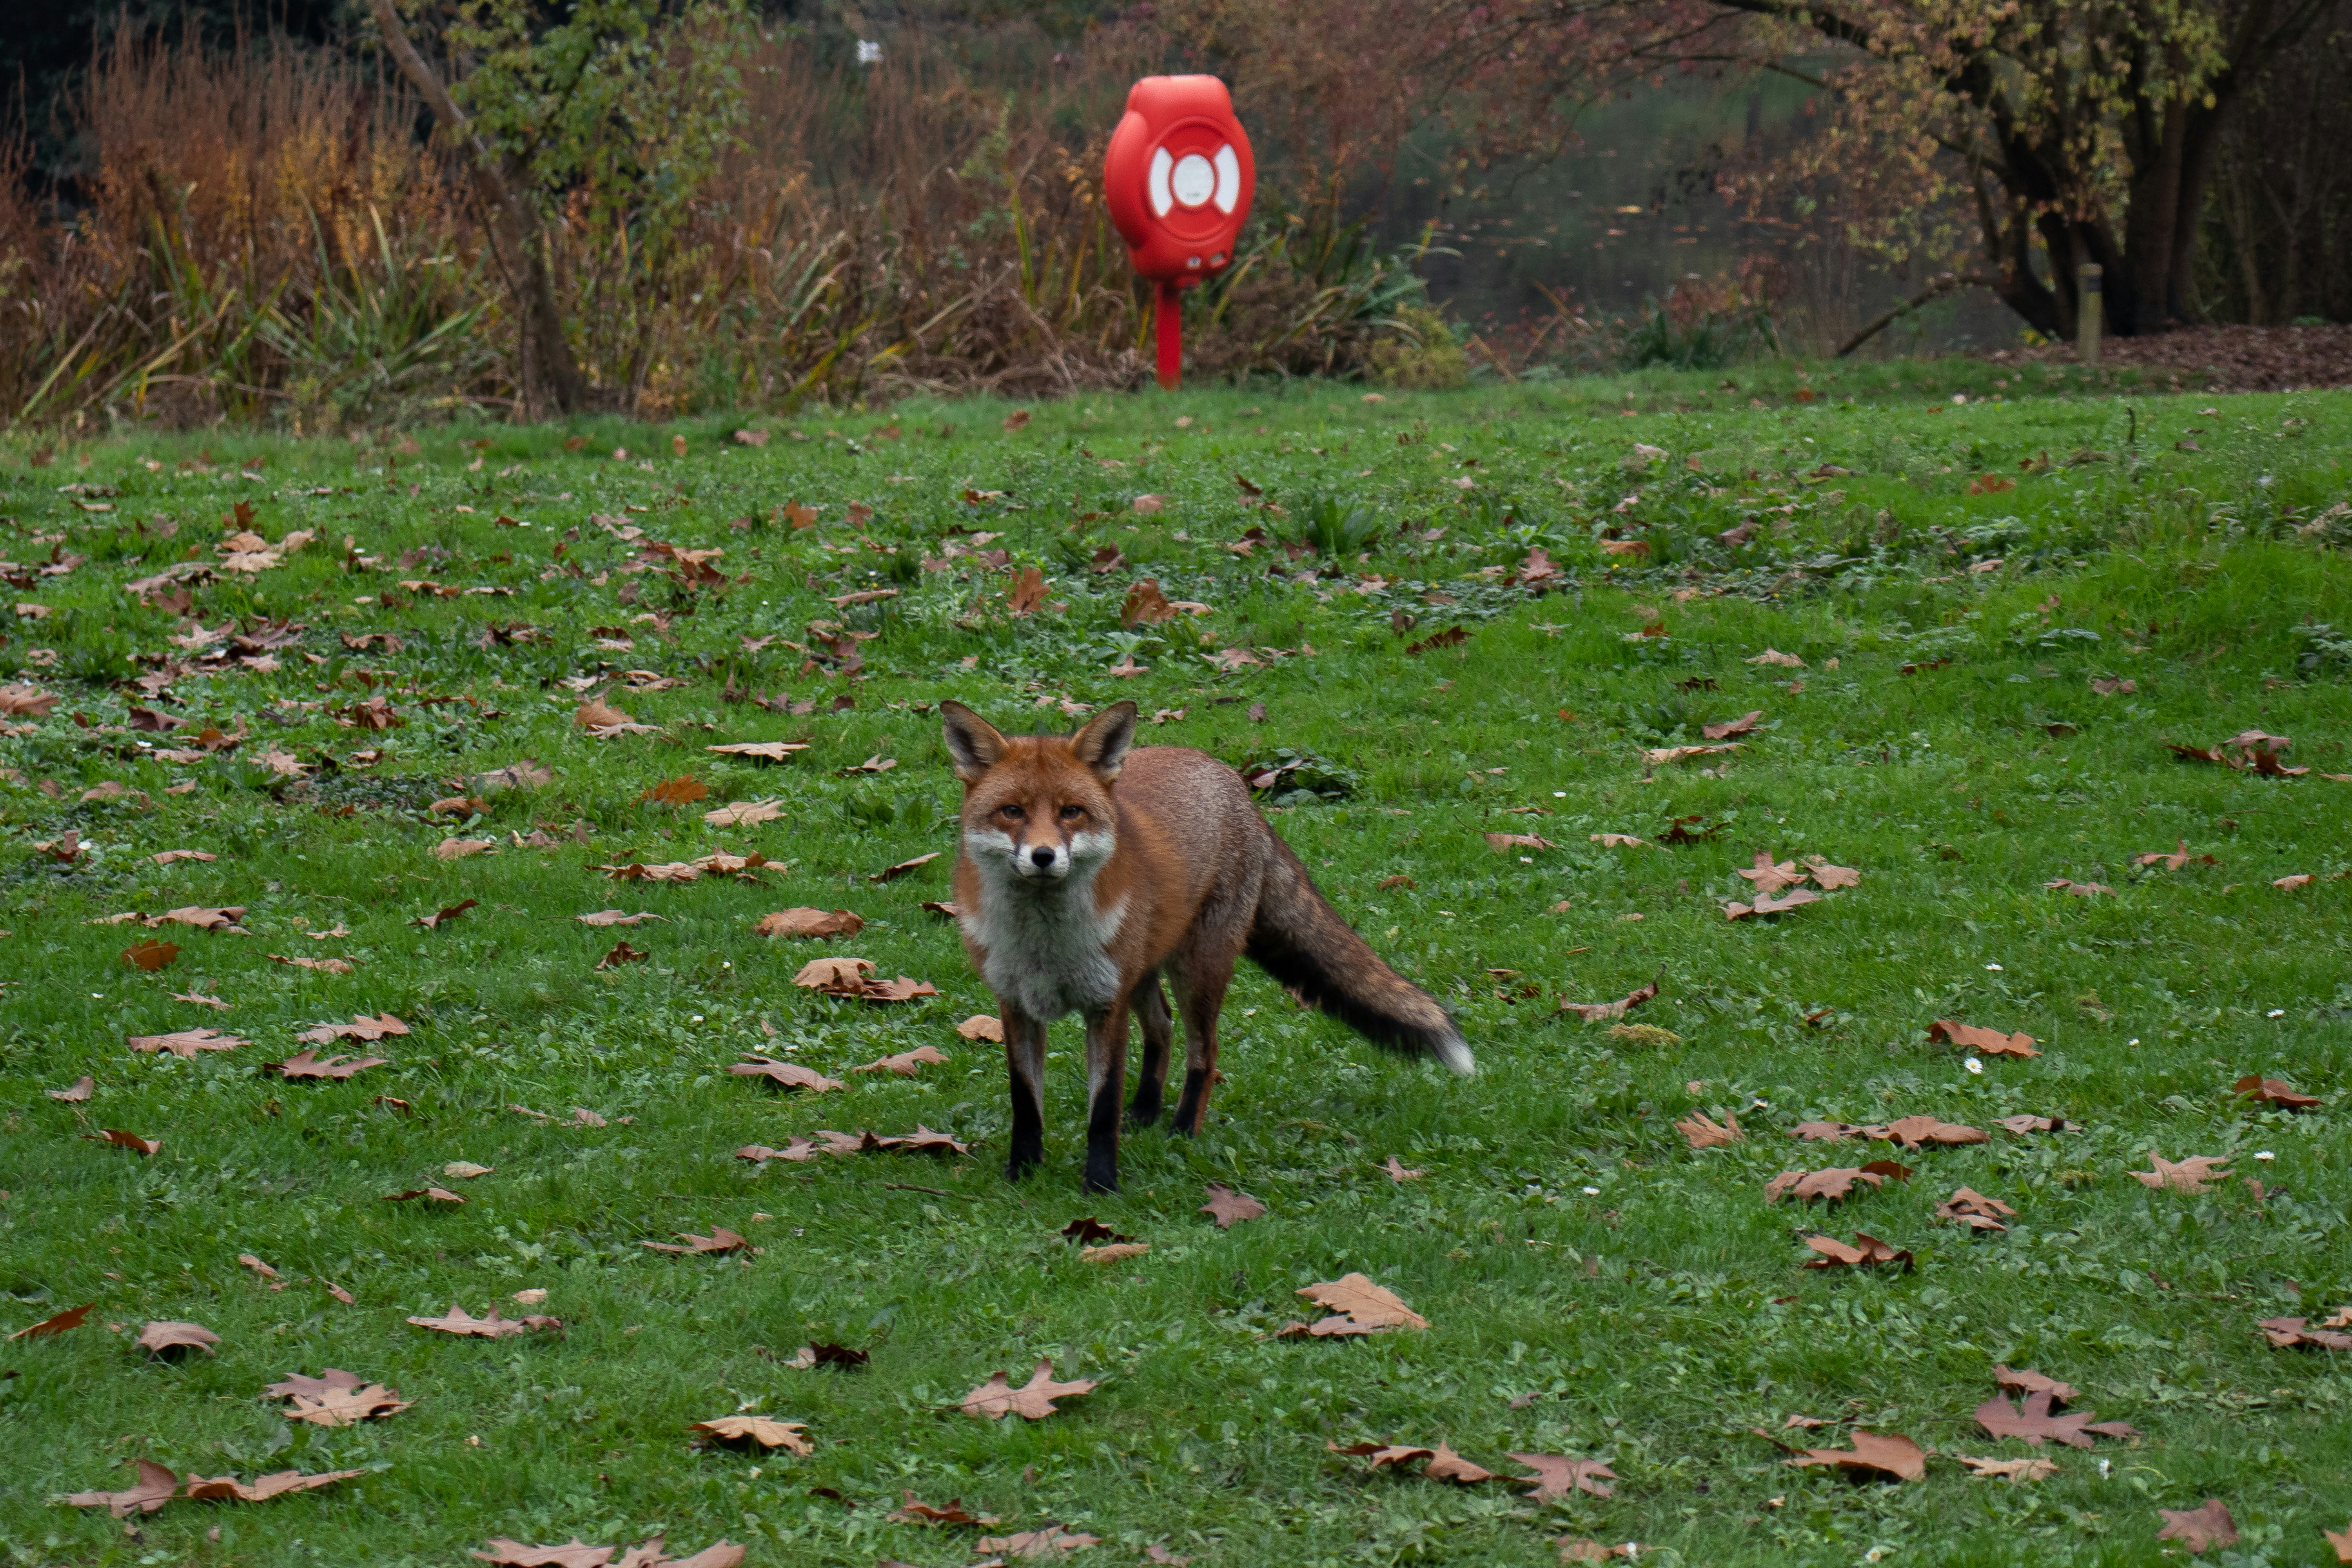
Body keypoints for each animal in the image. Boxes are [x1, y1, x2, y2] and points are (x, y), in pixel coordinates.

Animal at [939, 697, 1473, 1193]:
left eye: (1072, 812)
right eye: (1013, 812)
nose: (1044, 856)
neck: (1045, 945)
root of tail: (1229, 778)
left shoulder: (1105, 1005)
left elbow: (1103, 1108)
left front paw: (1101, 1184)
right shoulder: (1016, 1005)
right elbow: (1026, 1103)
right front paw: (1023, 1173)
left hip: (1198, 970)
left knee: (1205, 1052)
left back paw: (1181, 1130)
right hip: (1145, 971)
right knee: (1162, 1026)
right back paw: (1145, 1112)